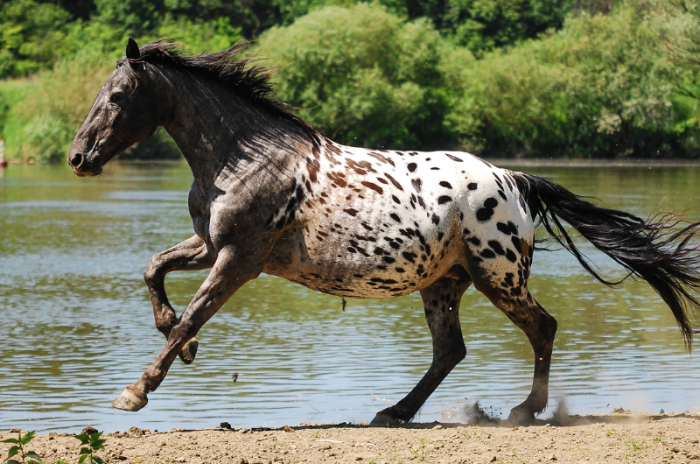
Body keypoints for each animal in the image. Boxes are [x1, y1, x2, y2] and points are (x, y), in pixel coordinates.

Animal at [68, 38, 700, 425]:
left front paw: (135, 392)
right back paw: (394, 412)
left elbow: (191, 314)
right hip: (445, 283)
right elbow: (154, 271)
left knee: (541, 327)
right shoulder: (210, 247)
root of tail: (513, 179)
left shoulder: (239, 260)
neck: (245, 158)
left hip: (497, 275)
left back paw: (525, 410)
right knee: (451, 351)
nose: (78, 157)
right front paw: (182, 343)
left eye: (118, 96)